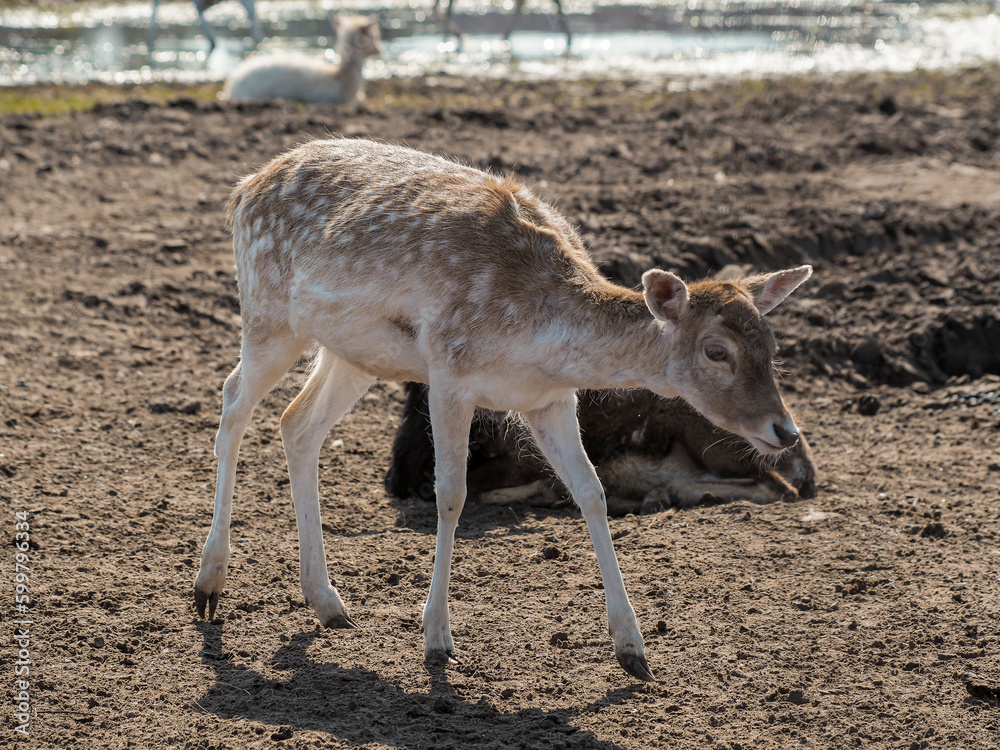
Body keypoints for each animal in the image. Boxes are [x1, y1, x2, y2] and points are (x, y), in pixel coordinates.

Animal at [194, 137, 812, 682]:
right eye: (717, 351)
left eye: (772, 344)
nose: (785, 431)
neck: (535, 339)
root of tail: (244, 187)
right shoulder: (449, 373)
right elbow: (451, 495)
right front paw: (436, 640)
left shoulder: (551, 400)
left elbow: (591, 491)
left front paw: (634, 651)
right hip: (267, 311)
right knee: (231, 403)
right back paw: (208, 587)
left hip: (354, 354)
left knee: (297, 424)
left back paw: (327, 602)